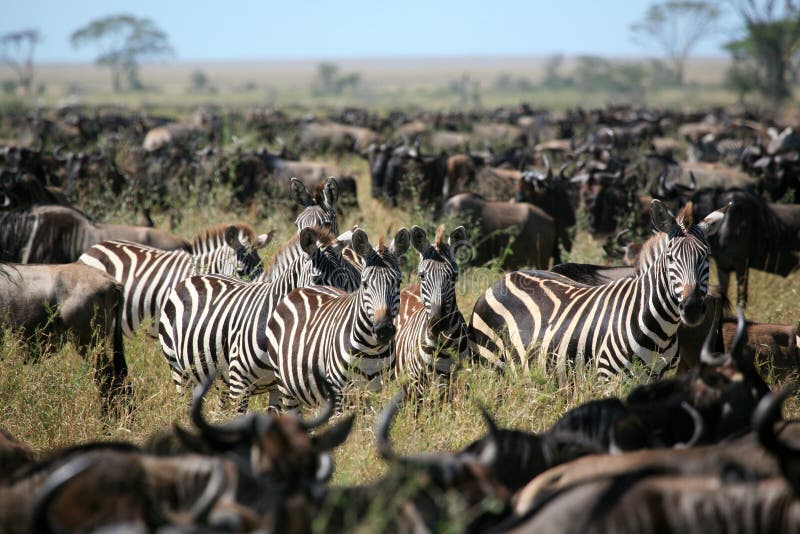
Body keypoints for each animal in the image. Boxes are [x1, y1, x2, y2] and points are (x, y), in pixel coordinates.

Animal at [158, 226, 360, 411]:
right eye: (317, 280)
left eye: (345, 281)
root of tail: (194, 276)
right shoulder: (239, 384)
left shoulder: (278, 388)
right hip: (179, 369)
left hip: (219, 378)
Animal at [265, 228, 410, 409]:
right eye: (365, 283)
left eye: (399, 282)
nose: (383, 330)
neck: (372, 349)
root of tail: (300, 290)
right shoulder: (340, 392)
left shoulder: (379, 393)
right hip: (286, 388)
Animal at [394, 225, 471, 393]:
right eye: (422, 276)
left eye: (454, 276)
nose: (437, 323)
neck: (443, 344)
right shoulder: (417, 384)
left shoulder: (459, 383)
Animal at [469, 200, 730, 379]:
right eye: (670, 258)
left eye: (706, 256)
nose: (692, 308)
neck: (662, 332)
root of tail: (506, 277)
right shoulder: (608, 378)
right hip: (492, 364)